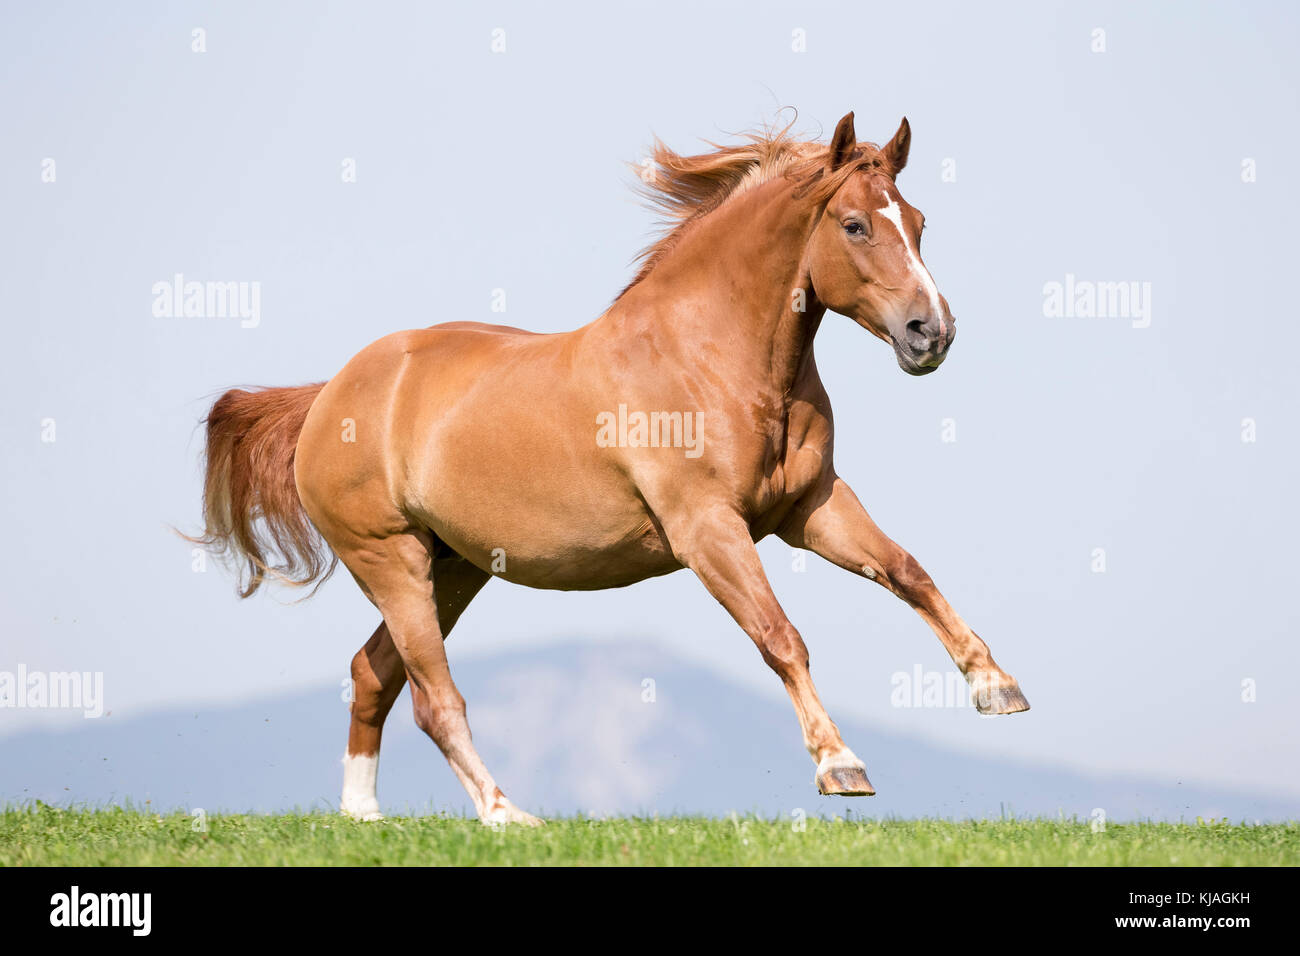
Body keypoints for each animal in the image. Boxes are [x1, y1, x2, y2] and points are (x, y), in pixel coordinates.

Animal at [192, 112, 1029, 826]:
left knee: (374, 674)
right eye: (854, 224)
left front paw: (996, 686)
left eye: (918, 224)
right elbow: (780, 637)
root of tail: (329, 396)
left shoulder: (809, 509)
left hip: (453, 569)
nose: (931, 333)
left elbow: (908, 571)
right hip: (389, 559)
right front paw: (840, 765)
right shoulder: (707, 530)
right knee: (435, 698)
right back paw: (505, 816)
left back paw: (363, 816)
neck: (711, 358)